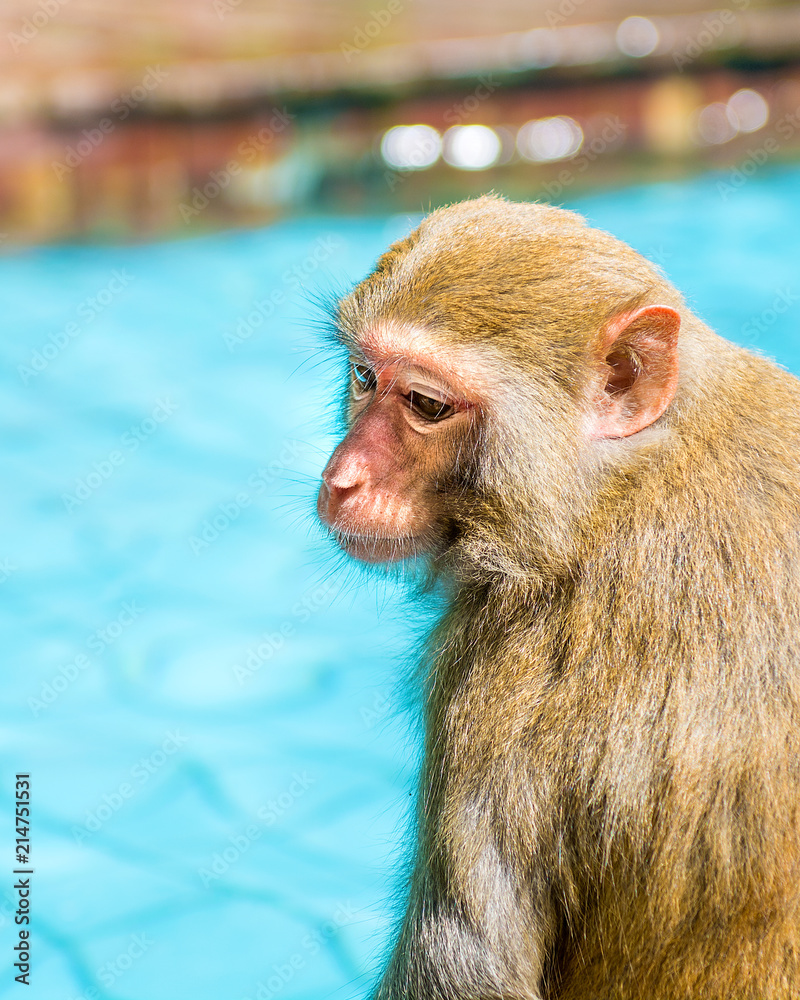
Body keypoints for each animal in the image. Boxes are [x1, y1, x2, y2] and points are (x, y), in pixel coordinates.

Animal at [316, 195, 800, 1000]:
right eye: (362, 375)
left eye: (424, 403)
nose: (341, 477)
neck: (617, 486)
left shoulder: (501, 673)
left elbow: (468, 967)